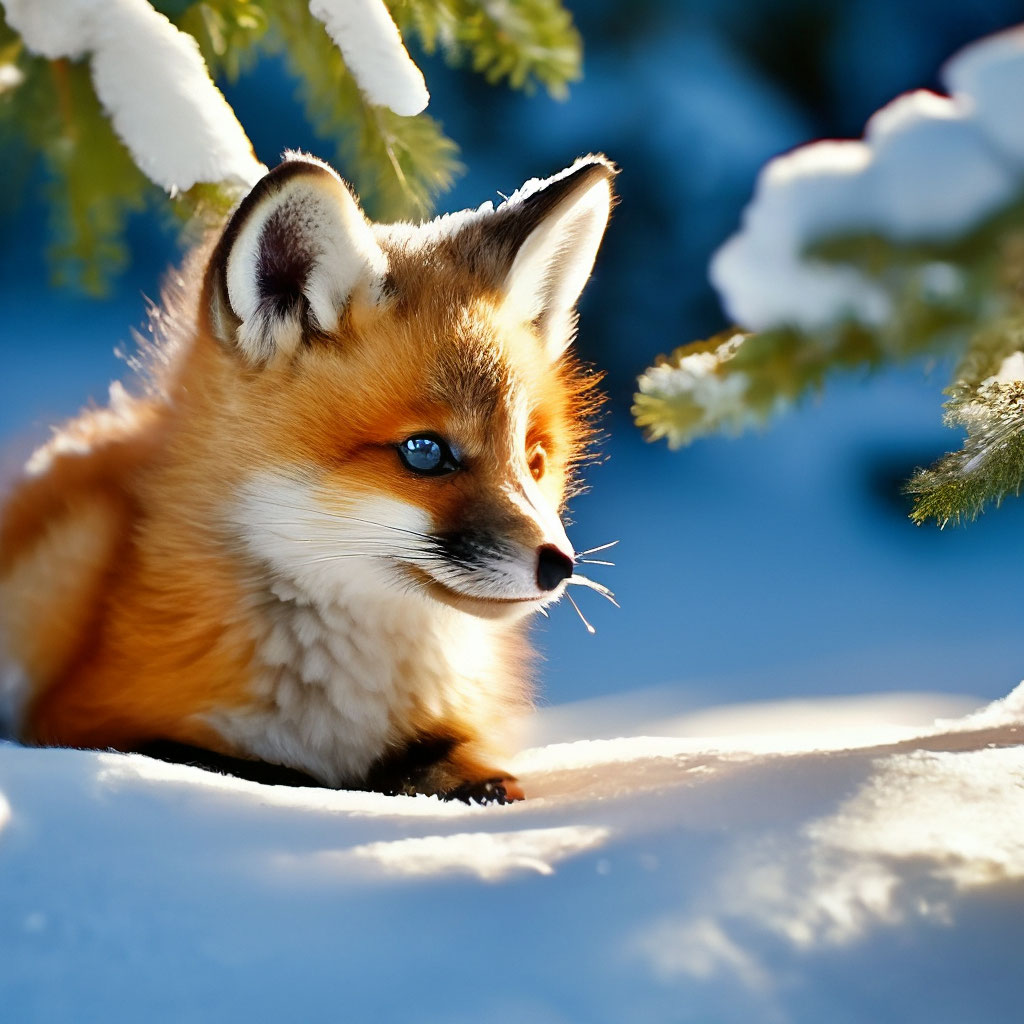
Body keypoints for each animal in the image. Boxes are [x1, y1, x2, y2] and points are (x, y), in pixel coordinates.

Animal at [0, 151, 616, 803]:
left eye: (533, 460)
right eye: (425, 452)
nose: (558, 565)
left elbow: (450, 763)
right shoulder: (83, 718)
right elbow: (244, 766)